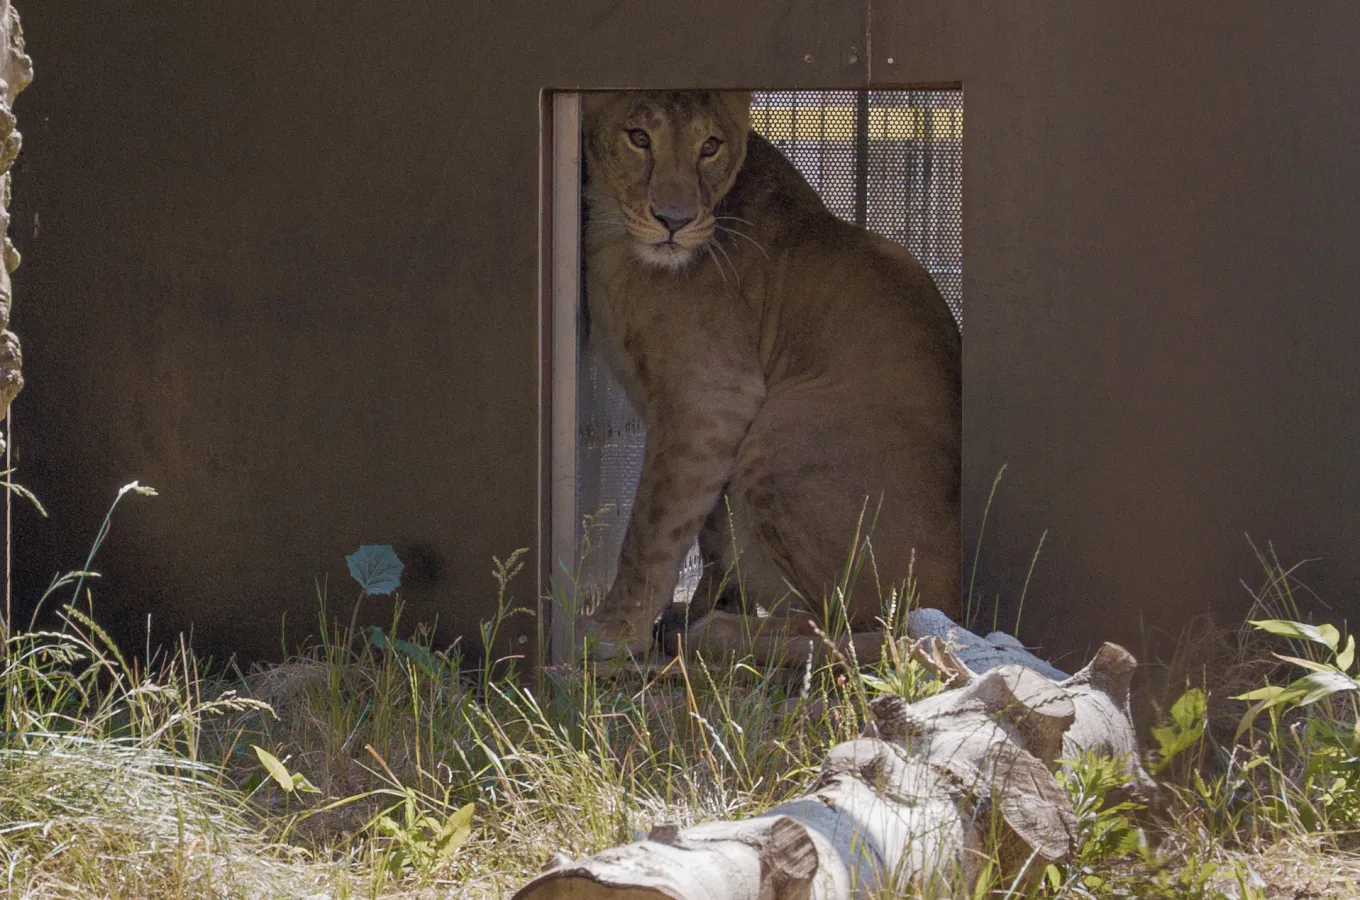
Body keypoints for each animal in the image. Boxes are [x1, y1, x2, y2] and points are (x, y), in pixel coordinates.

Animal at [577, 91, 961, 665]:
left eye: (709, 146)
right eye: (639, 137)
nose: (674, 220)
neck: (614, 234)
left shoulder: (712, 396)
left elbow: (652, 527)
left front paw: (614, 631)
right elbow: (710, 533)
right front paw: (698, 606)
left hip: (787, 429)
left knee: (870, 627)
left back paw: (712, 635)